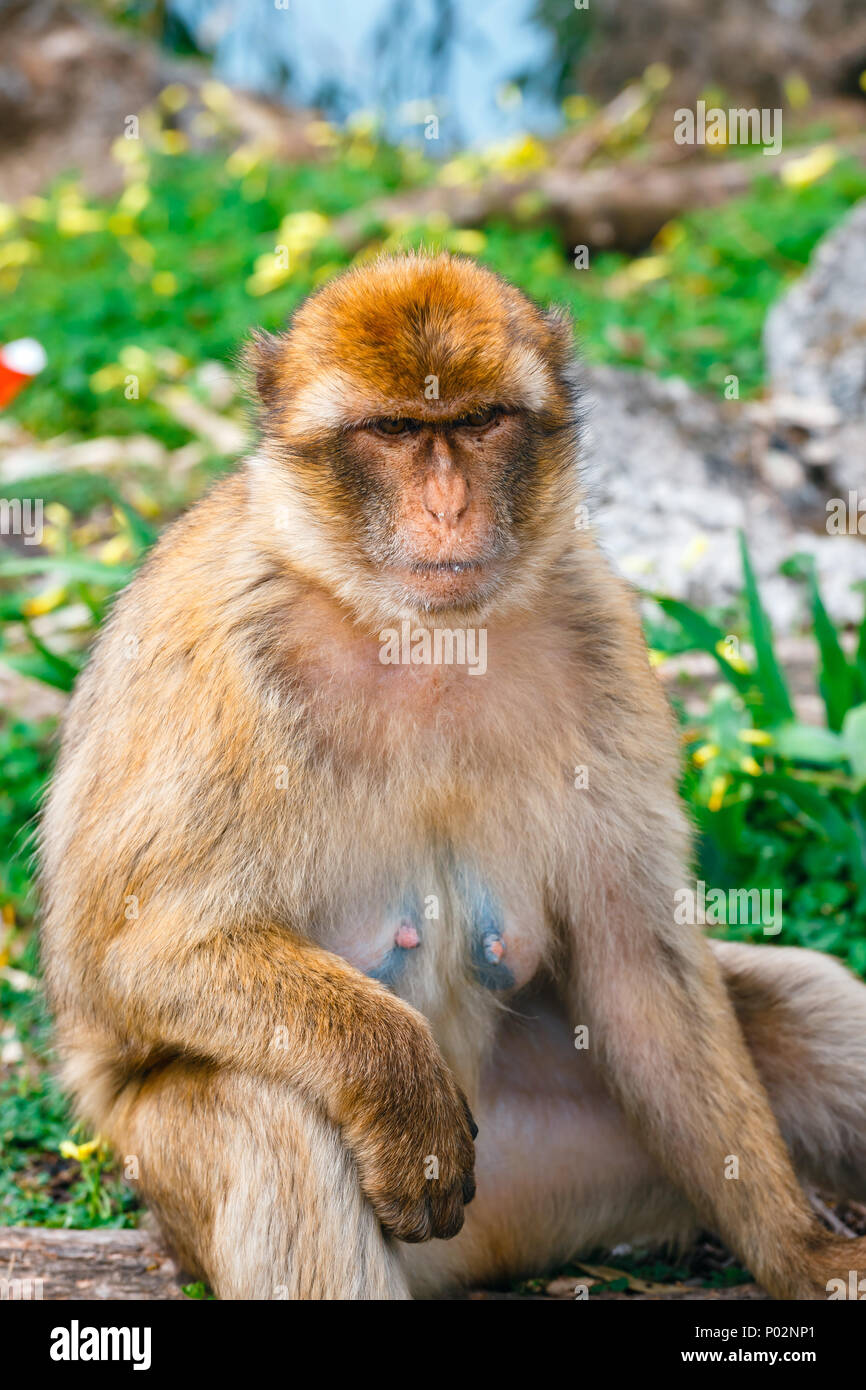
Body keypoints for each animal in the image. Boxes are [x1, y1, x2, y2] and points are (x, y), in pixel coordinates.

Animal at [39, 251, 866, 1300]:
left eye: (479, 423)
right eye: (395, 431)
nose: (446, 510)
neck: (415, 630)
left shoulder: (596, 623)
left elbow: (636, 964)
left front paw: (798, 1252)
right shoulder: (215, 650)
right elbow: (121, 957)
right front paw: (396, 1082)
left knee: (800, 1005)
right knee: (271, 1122)